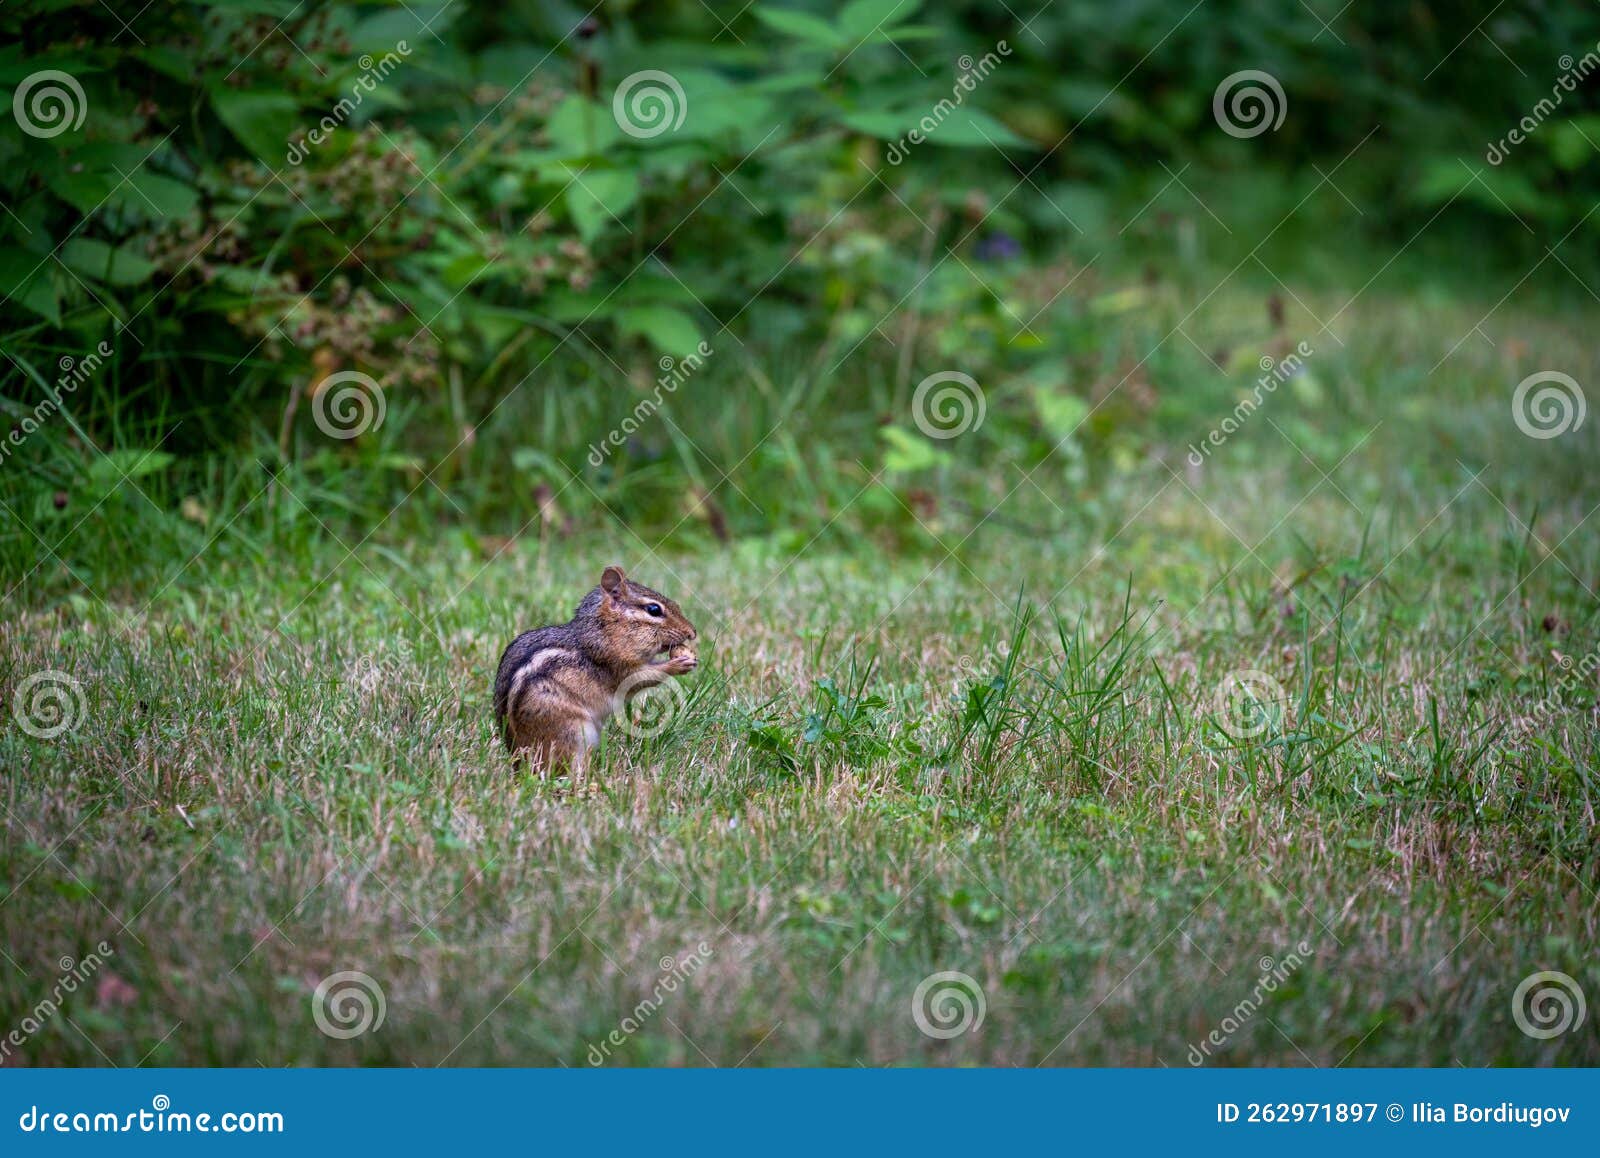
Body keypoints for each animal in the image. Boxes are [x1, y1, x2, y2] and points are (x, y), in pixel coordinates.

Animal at [493, 565, 698, 771]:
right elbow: (643, 677)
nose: (692, 632)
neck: (603, 631)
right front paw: (679, 664)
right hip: (574, 733)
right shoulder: (617, 666)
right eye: (654, 609)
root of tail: (521, 761)